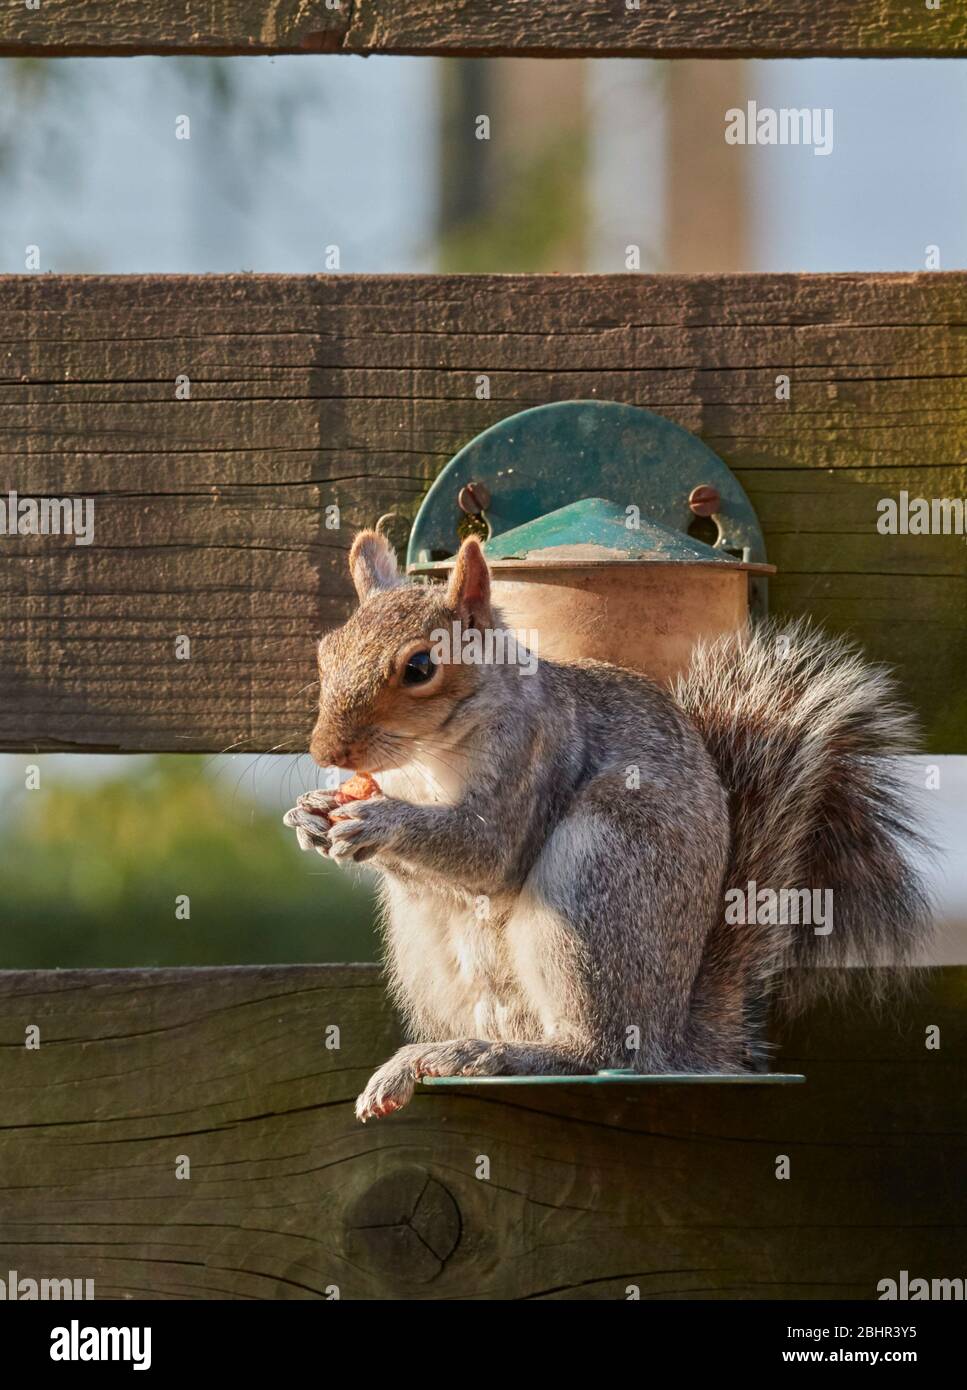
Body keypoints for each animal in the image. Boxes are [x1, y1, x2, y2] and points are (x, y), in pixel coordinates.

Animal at [283, 529, 933, 1122]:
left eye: (420, 667)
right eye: (325, 654)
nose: (326, 750)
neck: (424, 761)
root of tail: (672, 1037)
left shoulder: (534, 761)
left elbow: (487, 852)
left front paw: (378, 820)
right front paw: (311, 814)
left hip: (595, 882)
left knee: (595, 1049)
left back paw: (484, 1055)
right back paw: (432, 1060)